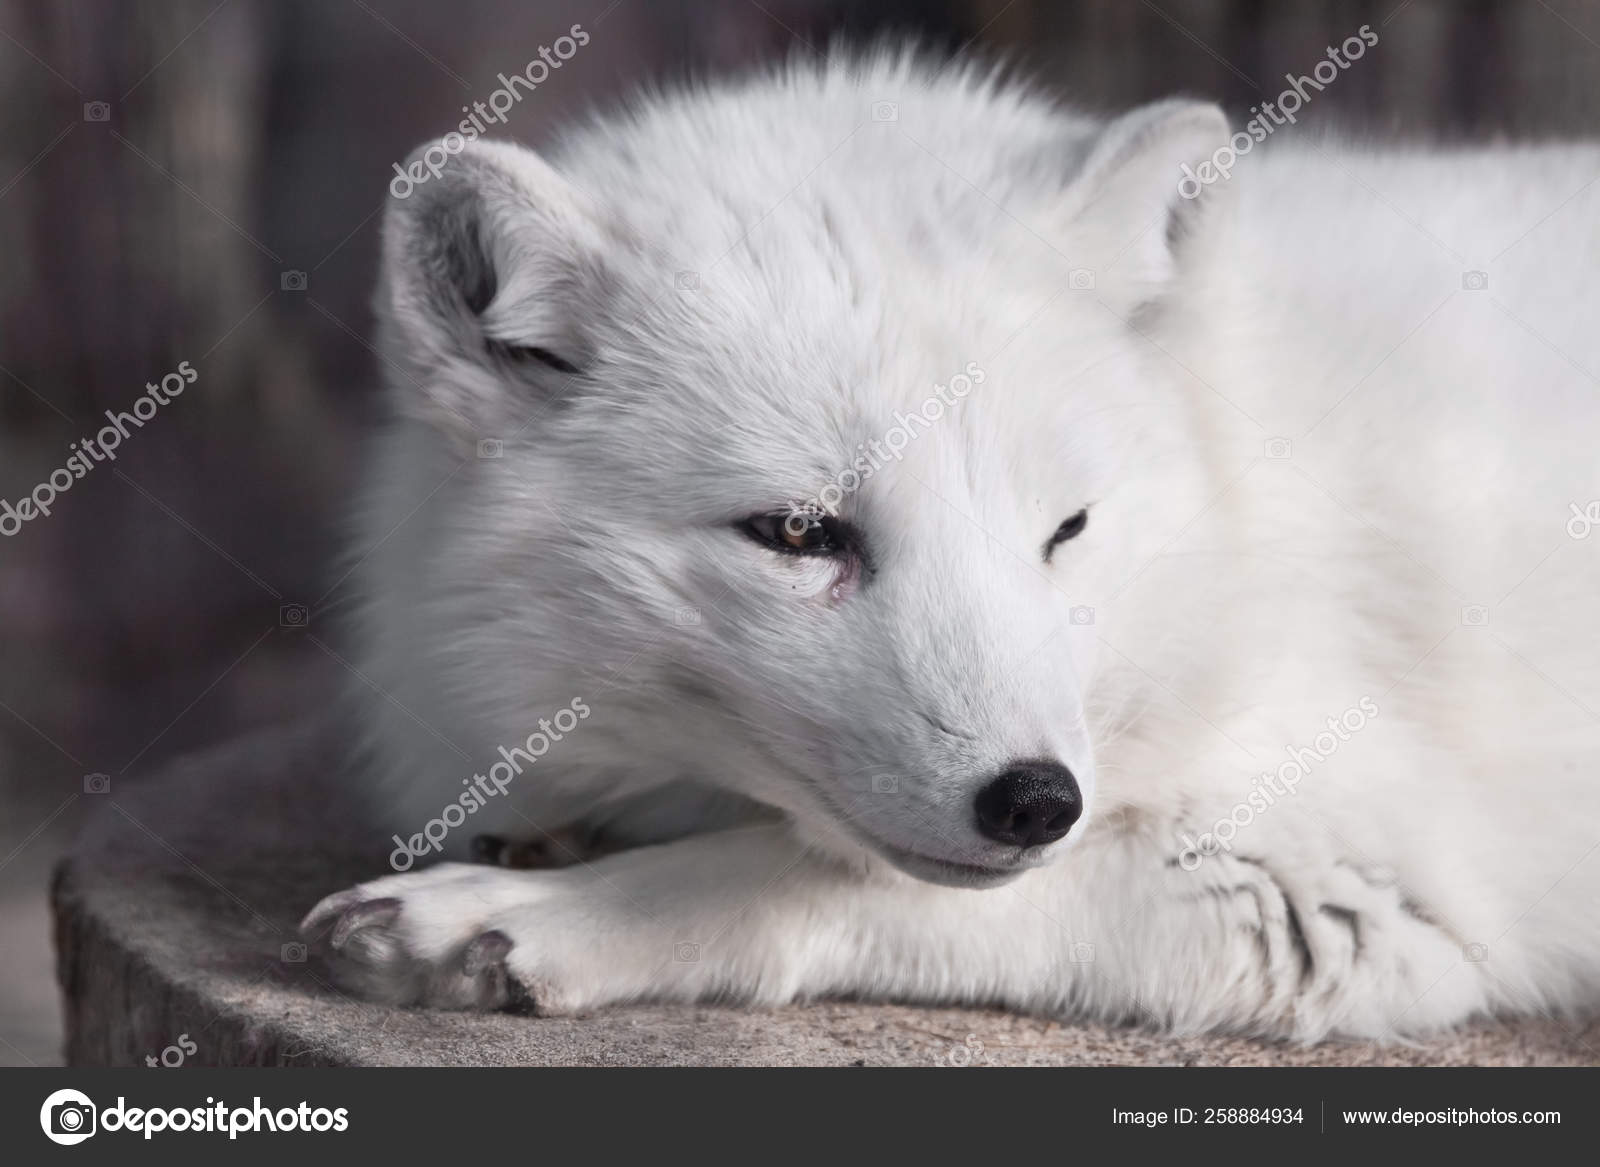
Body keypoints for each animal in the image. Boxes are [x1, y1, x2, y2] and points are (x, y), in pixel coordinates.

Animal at [302, 53, 1600, 1042]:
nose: (1036, 804)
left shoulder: (1345, 882)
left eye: (1067, 529)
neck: (1242, 489)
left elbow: (808, 876)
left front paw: (528, 916)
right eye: (797, 533)